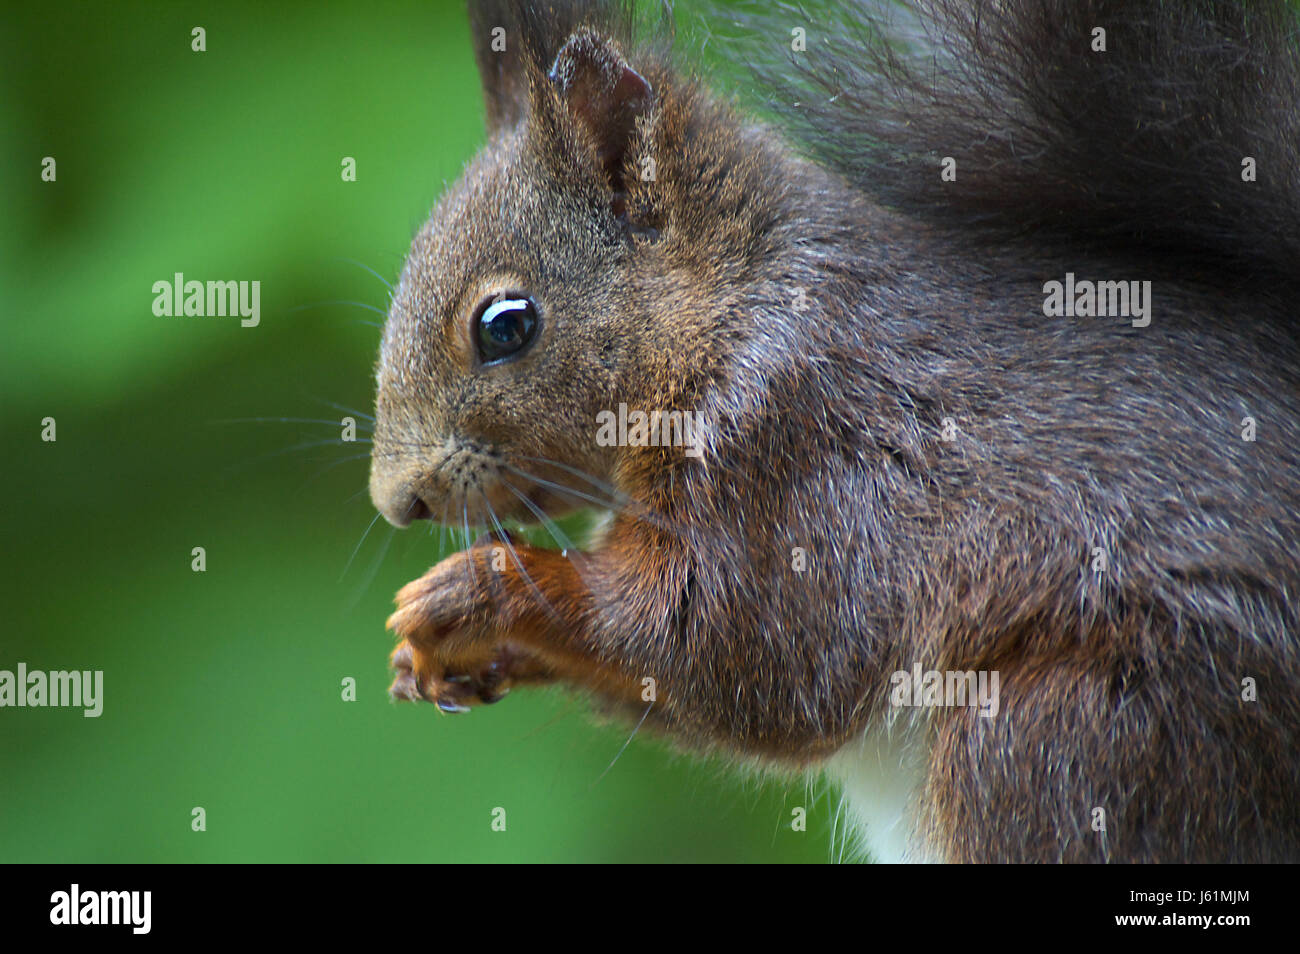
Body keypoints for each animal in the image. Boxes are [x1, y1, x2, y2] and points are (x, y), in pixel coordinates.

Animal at [368, 0, 1300, 862]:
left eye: (506, 326)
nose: (396, 502)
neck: (731, 311)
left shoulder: (802, 451)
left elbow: (748, 661)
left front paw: (474, 589)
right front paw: (443, 656)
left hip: (1080, 737)